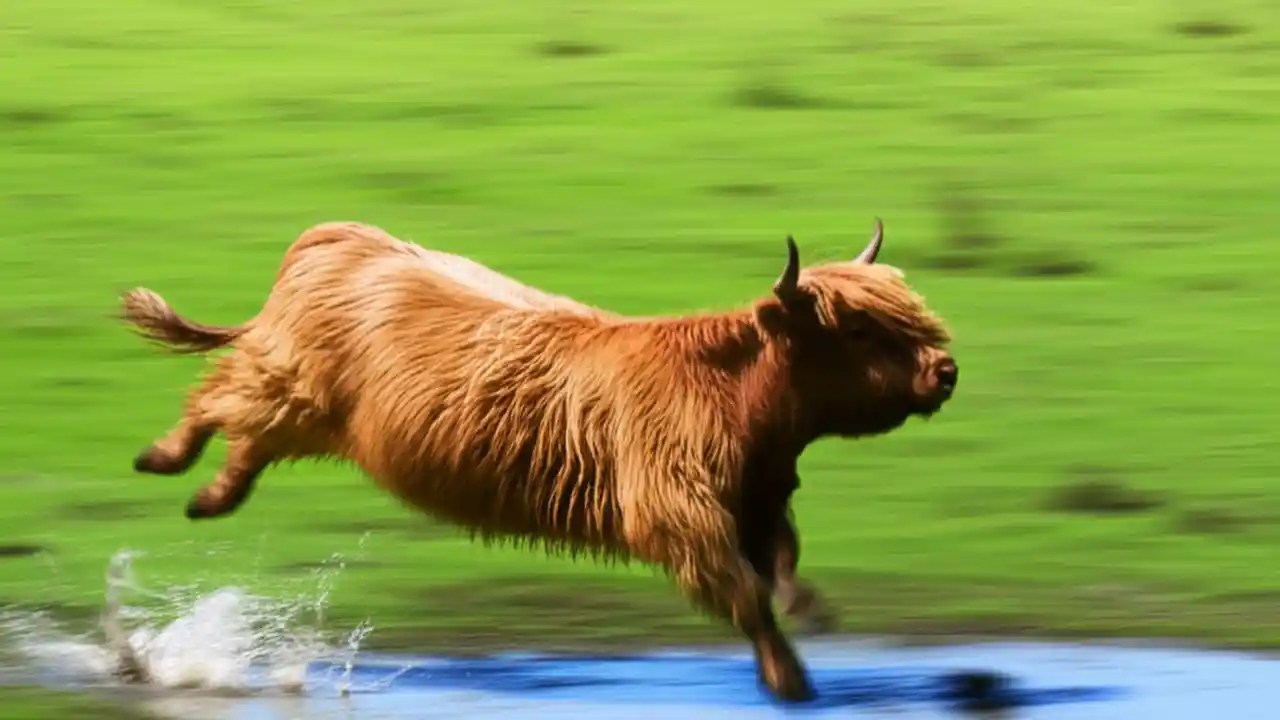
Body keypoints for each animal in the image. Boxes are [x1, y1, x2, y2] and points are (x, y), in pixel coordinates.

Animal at [119, 218, 957, 703]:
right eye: (858, 330)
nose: (944, 371)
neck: (738, 402)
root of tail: (341, 236)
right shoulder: (678, 516)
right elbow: (746, 597)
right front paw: (792, 682)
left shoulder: (758, 504)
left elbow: (778, 572)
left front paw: (809, 614)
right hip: (285, 381)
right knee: (217, 400)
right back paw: (163, 459)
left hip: (306, 411)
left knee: (247, 438)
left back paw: (209, 499)